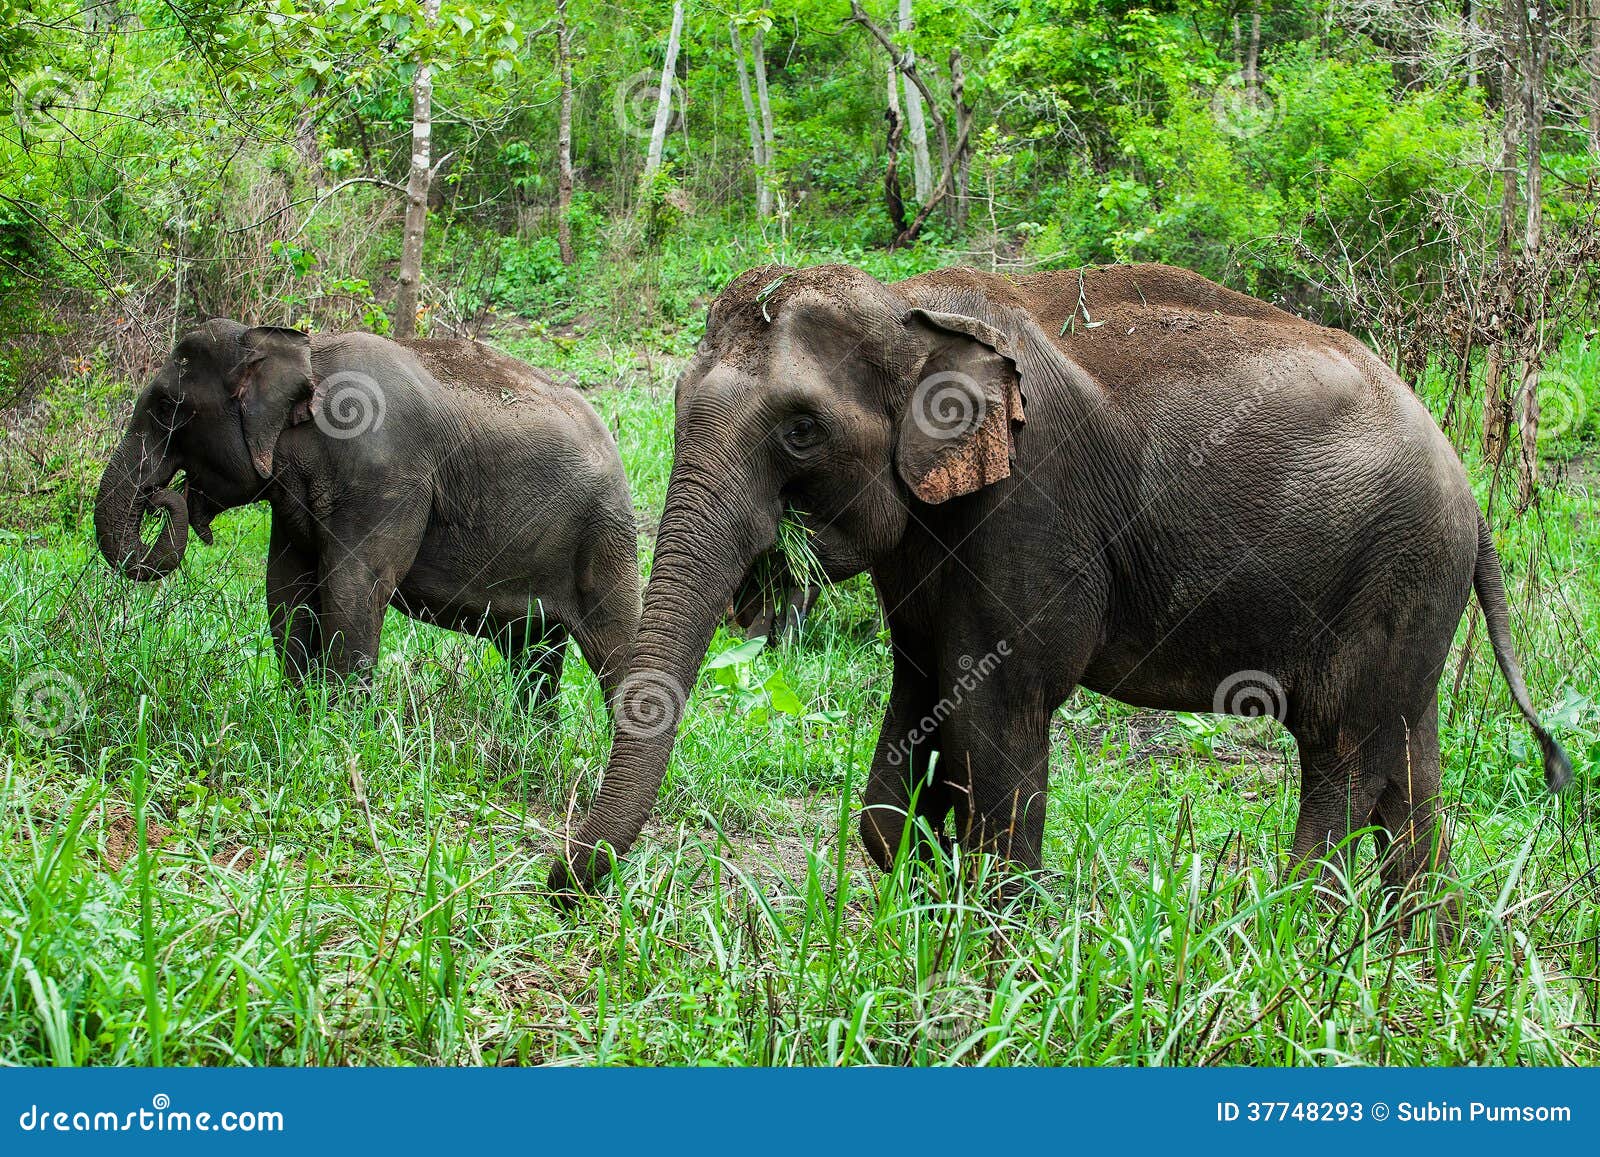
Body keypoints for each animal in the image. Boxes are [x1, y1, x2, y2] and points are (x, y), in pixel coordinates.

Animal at [95, 320, 639, 714]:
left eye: (168, 407)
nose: (162, 496)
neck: (299, 350)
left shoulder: (385, 473)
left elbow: (354, 584)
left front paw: (339, 728)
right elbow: (286, 588)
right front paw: (299, 714)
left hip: (606, 535)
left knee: (614, 647)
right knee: (533, 654)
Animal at [550, 261, 1571, 907]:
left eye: (800, 429)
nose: (560, 883)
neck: (912, 308)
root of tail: (1470, 495)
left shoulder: (1030, 511)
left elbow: (1001, 703)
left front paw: (995, 941)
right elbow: (920, 697)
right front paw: (924, 896)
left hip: (1389, 571)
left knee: (1342, 755)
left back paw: (1285, 930)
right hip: (1413, 591)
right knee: (1408, 756)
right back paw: (1410, 955)